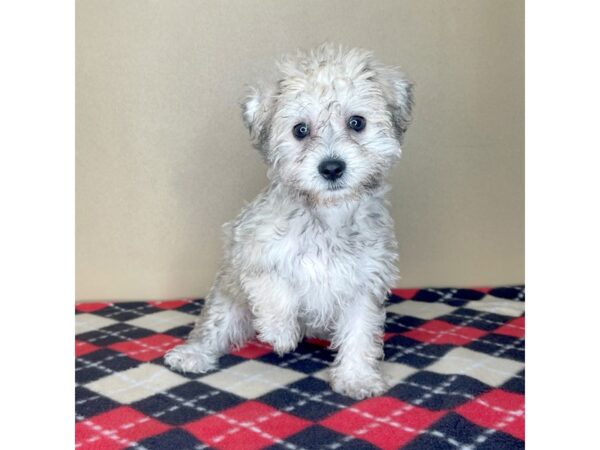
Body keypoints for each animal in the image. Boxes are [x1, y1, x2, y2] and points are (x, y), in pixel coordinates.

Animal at [166, 44, 414, 400]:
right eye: (300, 130)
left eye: (357, 122)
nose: (332, 168)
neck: (327, 215)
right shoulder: (248, 250)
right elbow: (274, 284)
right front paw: (281, 331)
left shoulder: (364, 282)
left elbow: (360, 333)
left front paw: (356, 377)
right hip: (226, 301)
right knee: (211, 329)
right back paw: (193, 354)